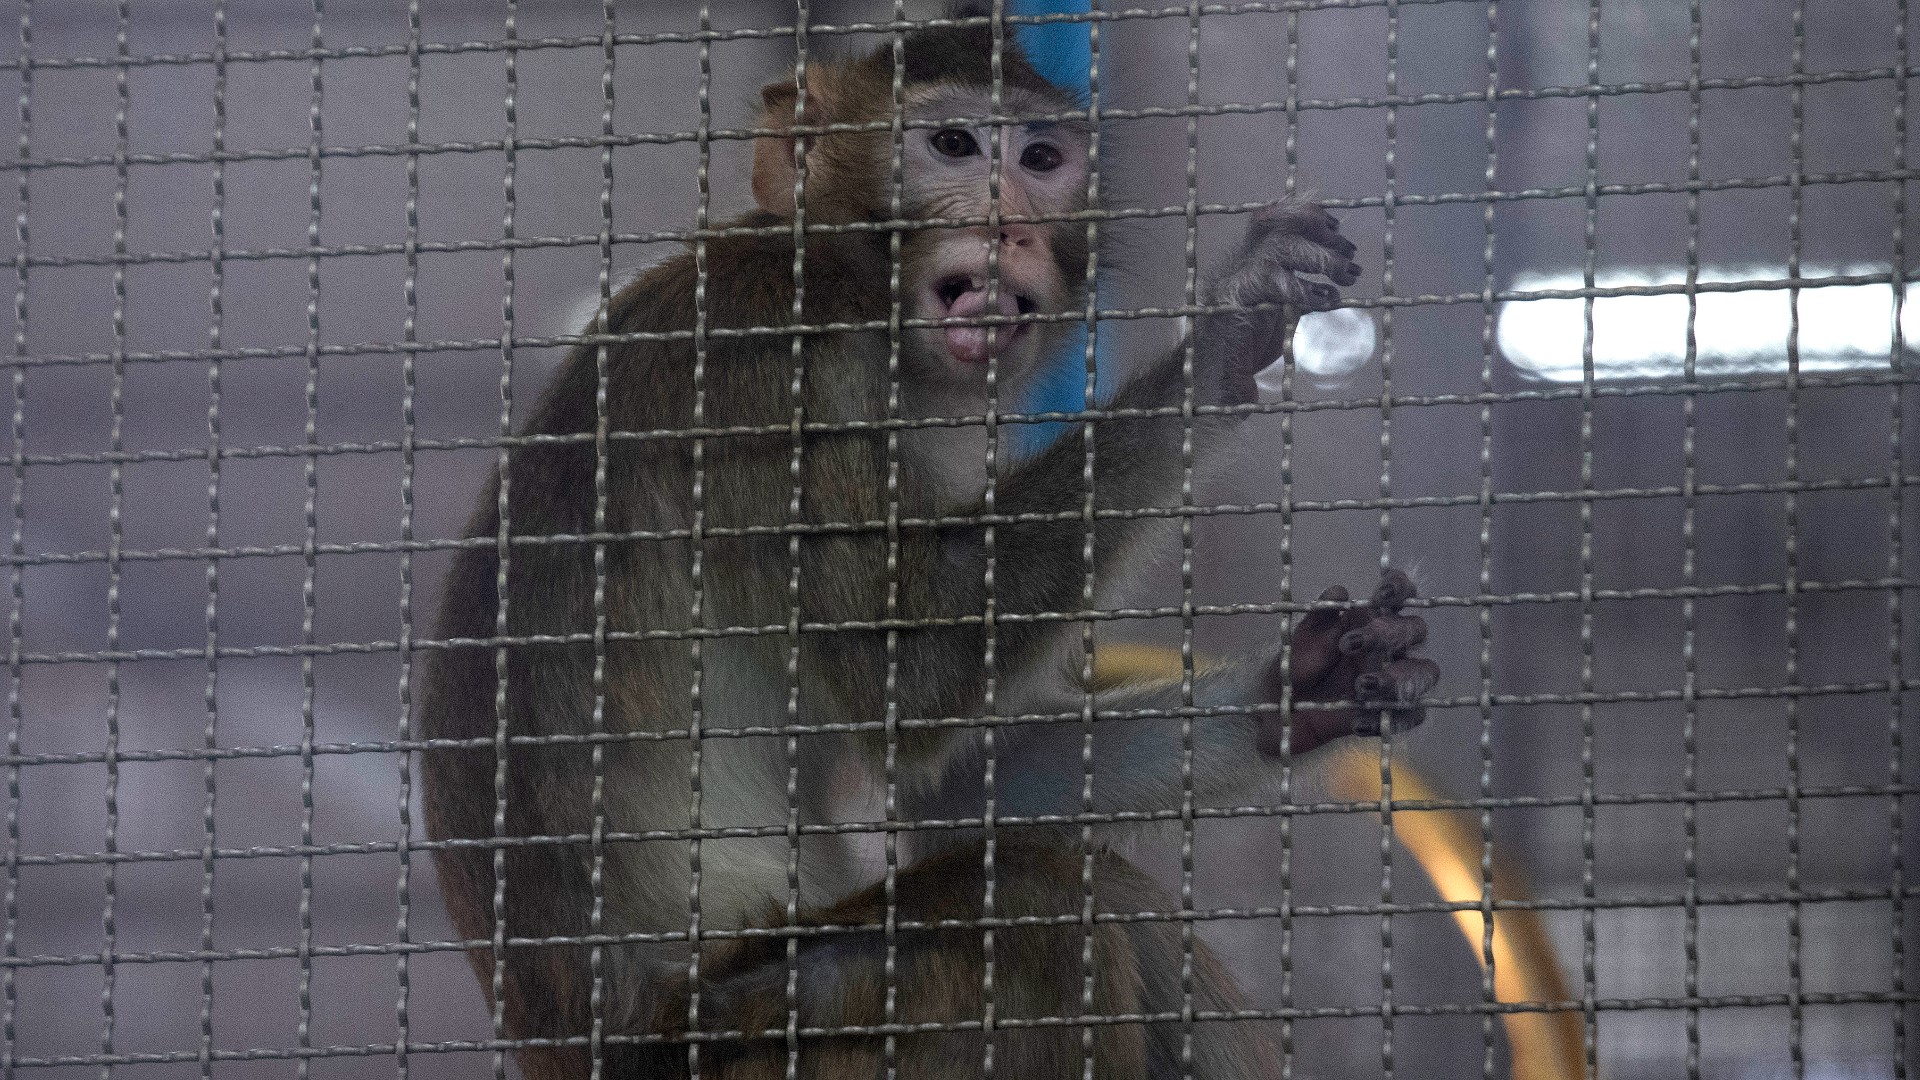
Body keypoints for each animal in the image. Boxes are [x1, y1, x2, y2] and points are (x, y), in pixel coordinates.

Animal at [418, 11, 1440, 1080]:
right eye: (953, 145)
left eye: (1041, 160)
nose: (1009, 225)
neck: (847, 279)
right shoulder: (777, 362)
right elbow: (909, 675)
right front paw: (1226, 334)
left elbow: (959, 789)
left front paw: (1306, 688)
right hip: (778, 1043)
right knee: (1041, 908)